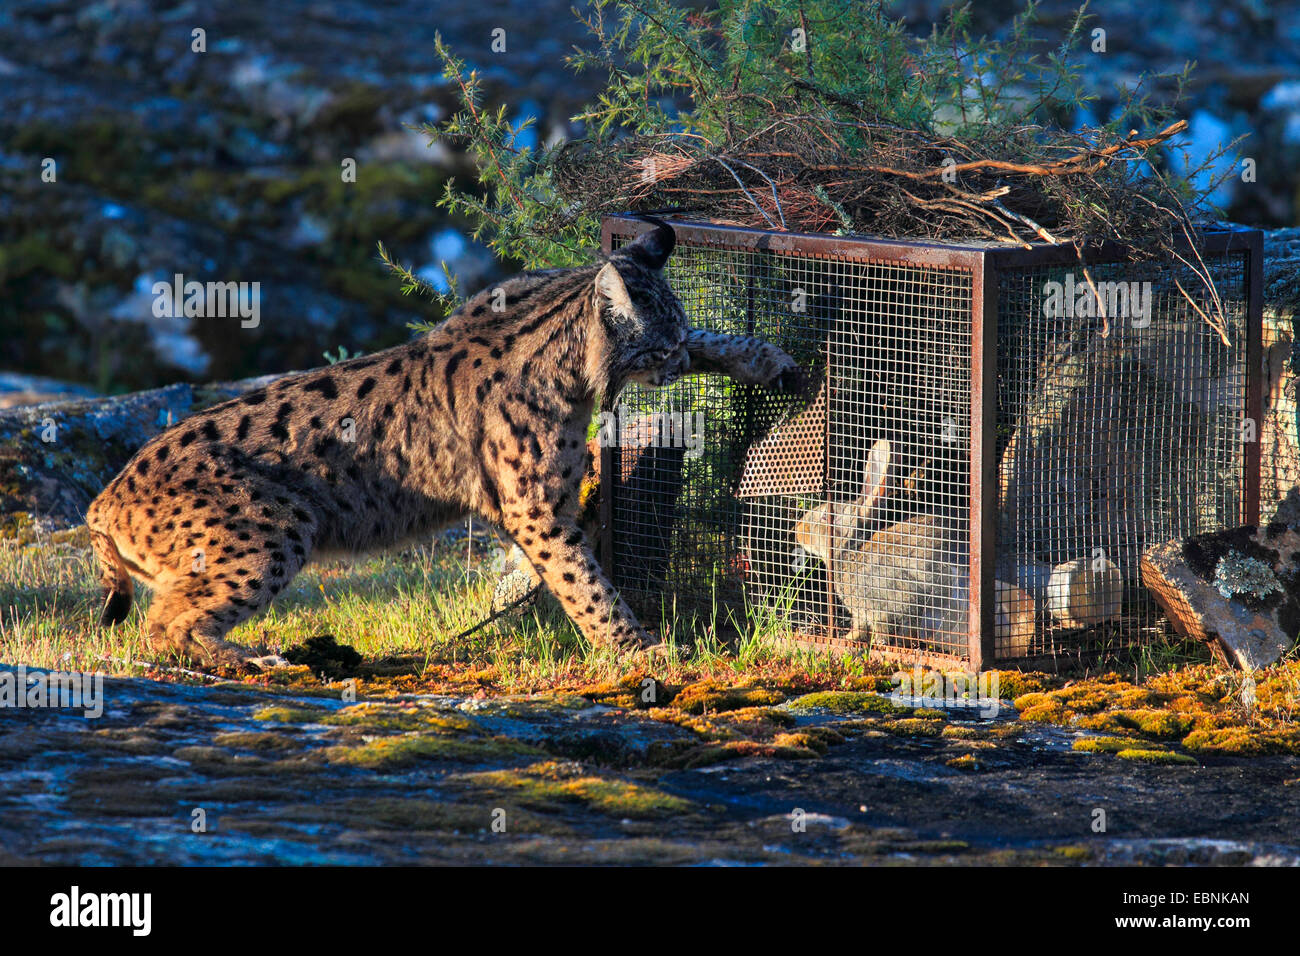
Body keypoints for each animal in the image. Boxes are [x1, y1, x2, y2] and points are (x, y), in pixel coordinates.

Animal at [793, 439, 1035, 654]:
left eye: (825, 517)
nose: (798, 529)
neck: (853, 548)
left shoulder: (881, 604)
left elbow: (877, 628)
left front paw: (864, 642)